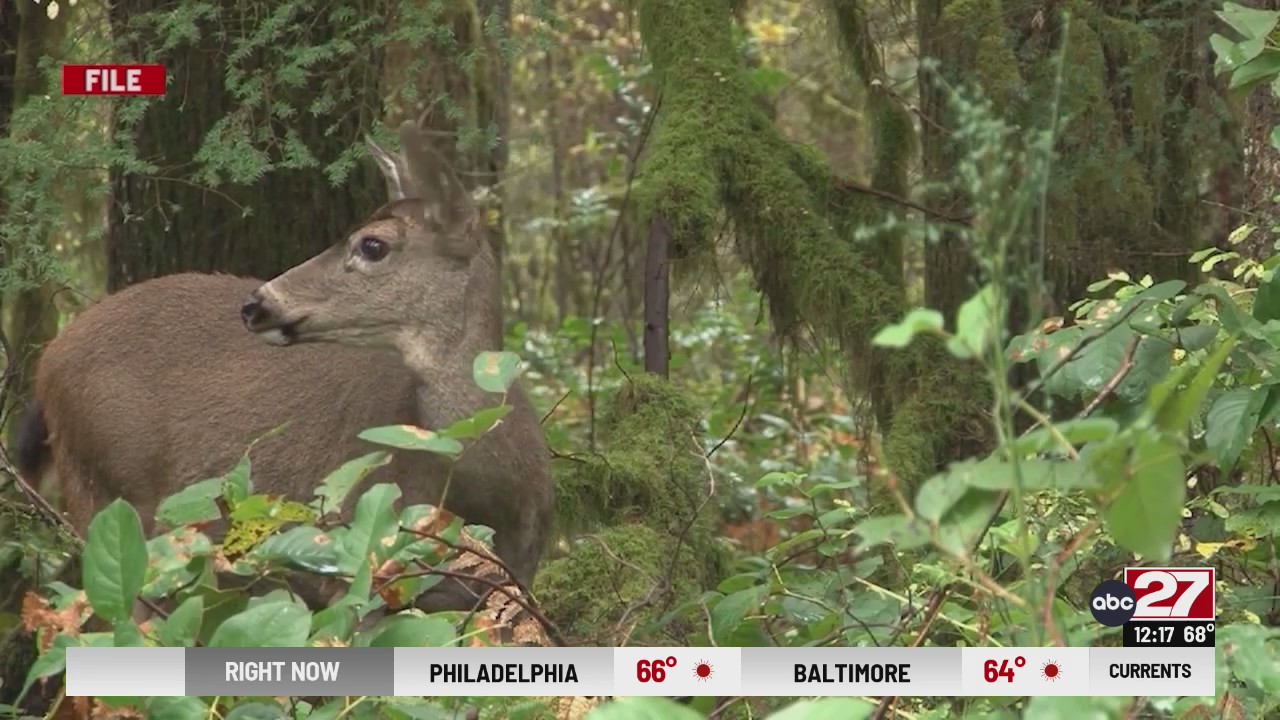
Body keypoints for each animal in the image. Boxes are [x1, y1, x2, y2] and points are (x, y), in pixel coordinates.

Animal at [12, 120, 554, 615]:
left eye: (373, 245)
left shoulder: (514, 580)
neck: (483, 490)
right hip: (109, 497)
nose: (256, 303)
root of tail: (48, 361)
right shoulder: (356, 570)